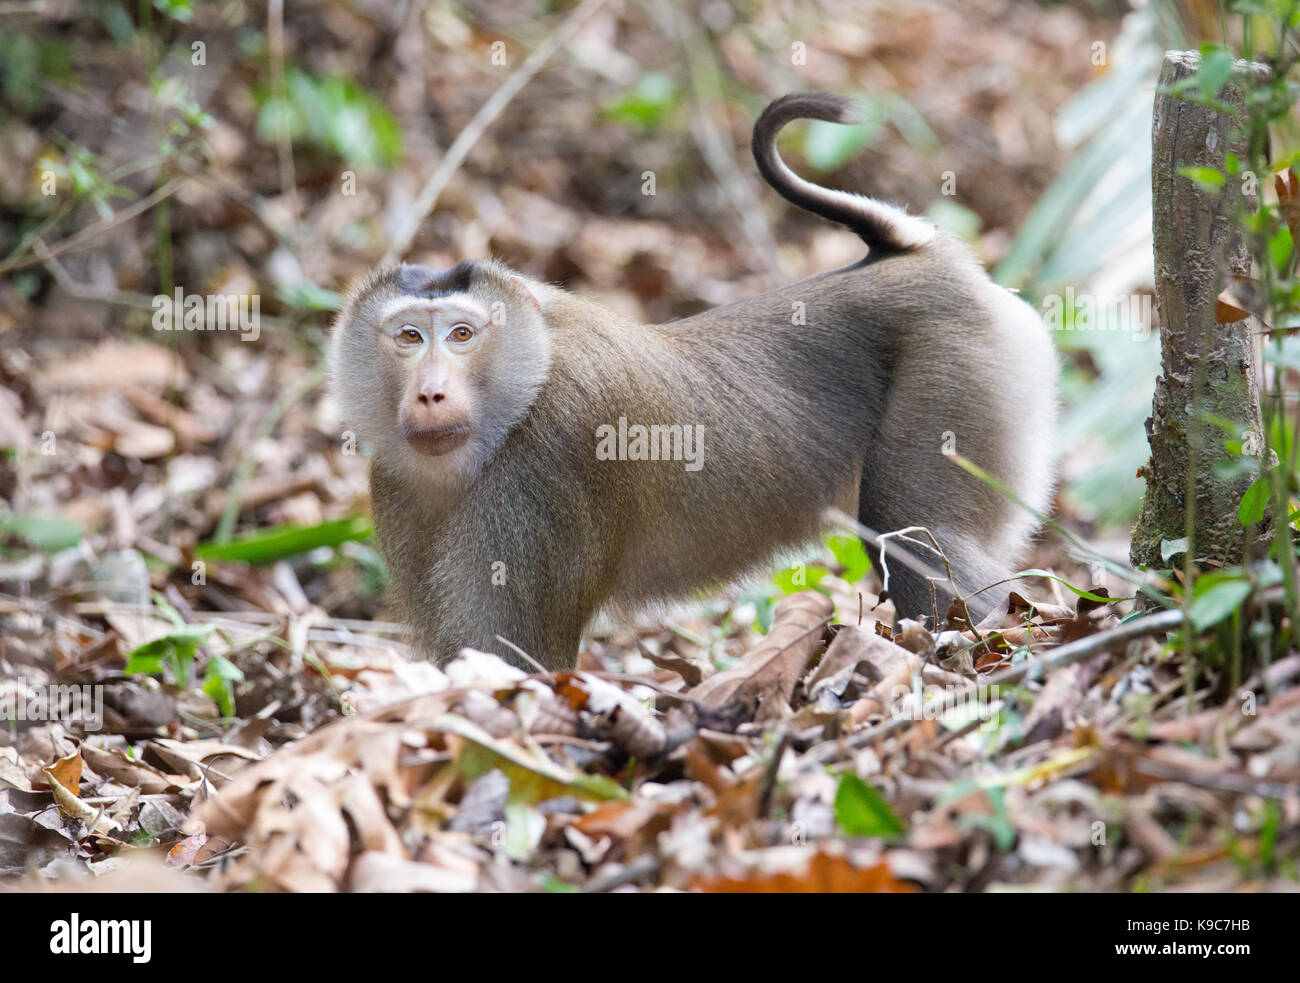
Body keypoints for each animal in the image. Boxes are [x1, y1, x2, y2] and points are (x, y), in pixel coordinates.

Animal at [329, 92, 1058, 669]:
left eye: (461, 334)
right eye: (408, 337)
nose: (430, 391)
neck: (517, 399)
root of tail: (918, 257)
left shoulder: (541, 471)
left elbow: (515, 658)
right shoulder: (396, 490)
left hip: (958, 366)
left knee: (911, 532)